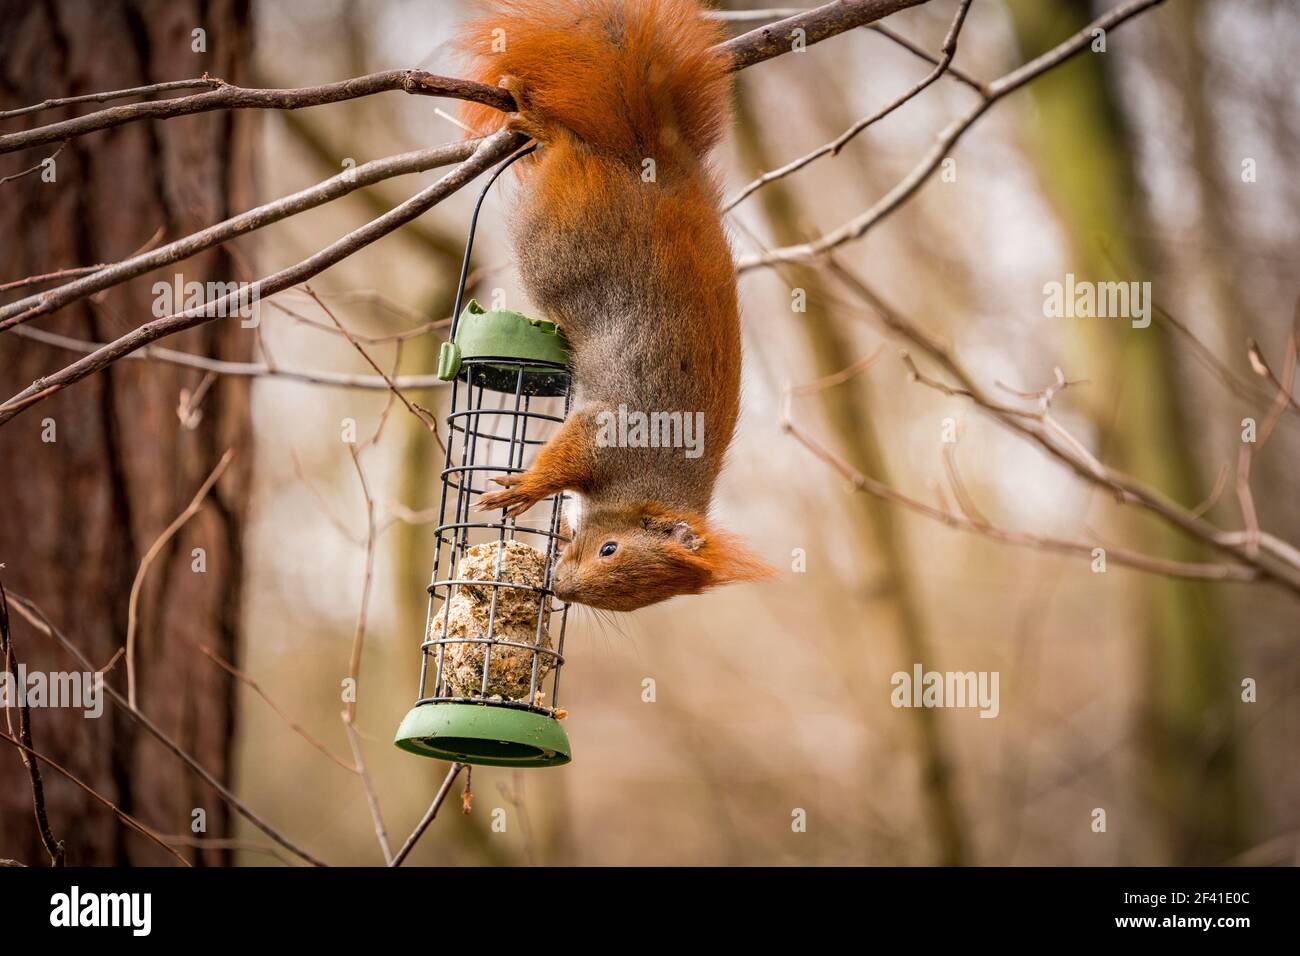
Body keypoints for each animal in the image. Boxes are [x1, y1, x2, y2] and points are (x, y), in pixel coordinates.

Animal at [462, 0, 774, 611]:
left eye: (636, 602)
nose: (561, 588)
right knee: (565, 147)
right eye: (610, 550)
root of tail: (651, 157)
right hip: (559, 235)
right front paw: (530, 486)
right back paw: (543, 126)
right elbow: (566, 456)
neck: (643, 488)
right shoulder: (608, 433)